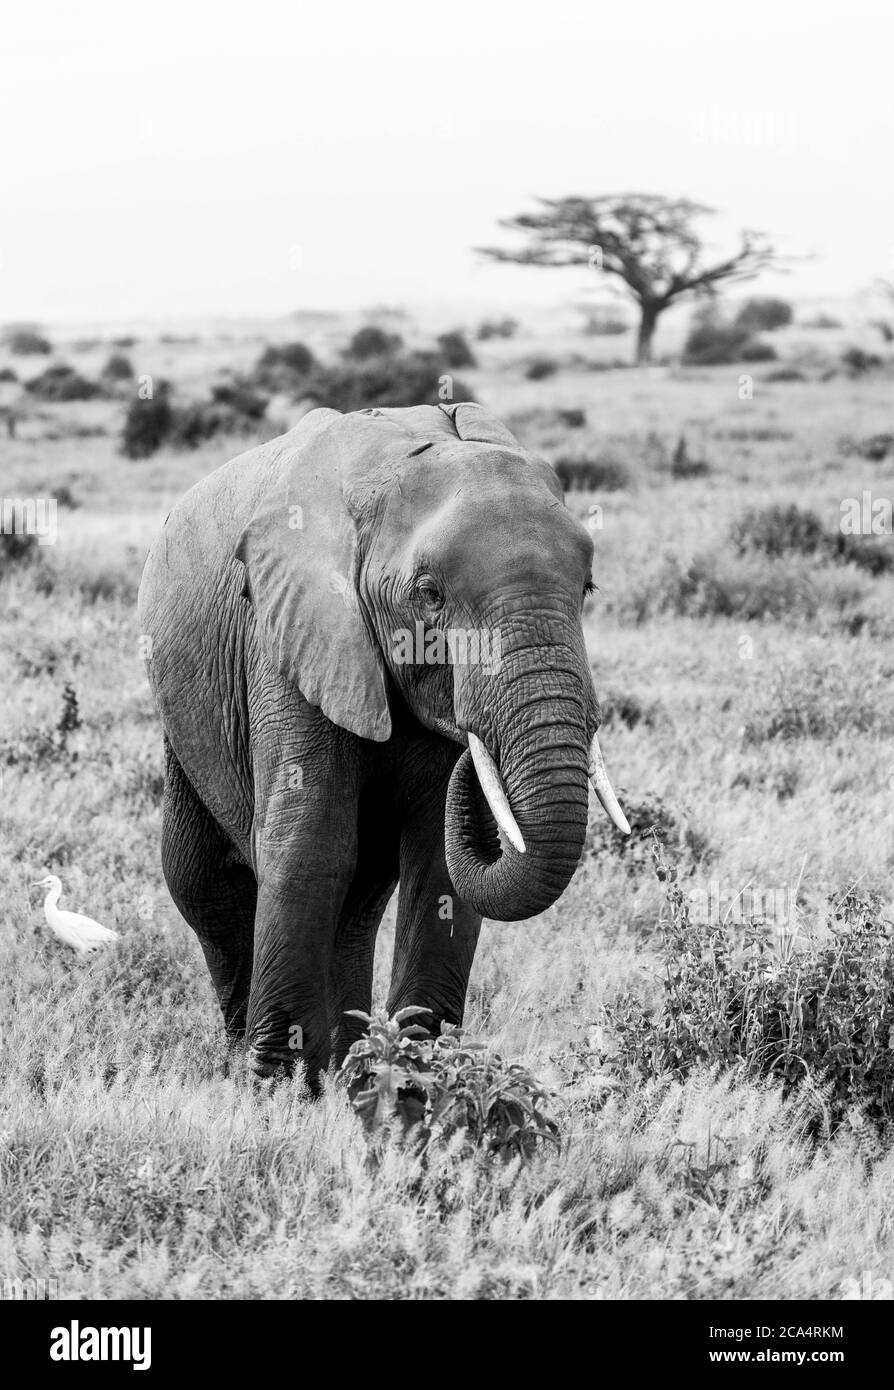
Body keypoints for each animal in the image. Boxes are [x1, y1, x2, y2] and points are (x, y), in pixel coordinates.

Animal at [137, 401, 629, 1084]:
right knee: (203, 880)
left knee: (359, 896)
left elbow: (439, 862)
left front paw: (417, 1076)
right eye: (429, 595)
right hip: (182, 709)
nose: (474, 761)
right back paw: (257, 1058)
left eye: (587, 589)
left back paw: (350, 1061)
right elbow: (308, 839)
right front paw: (278, 1088)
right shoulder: (290, 634)